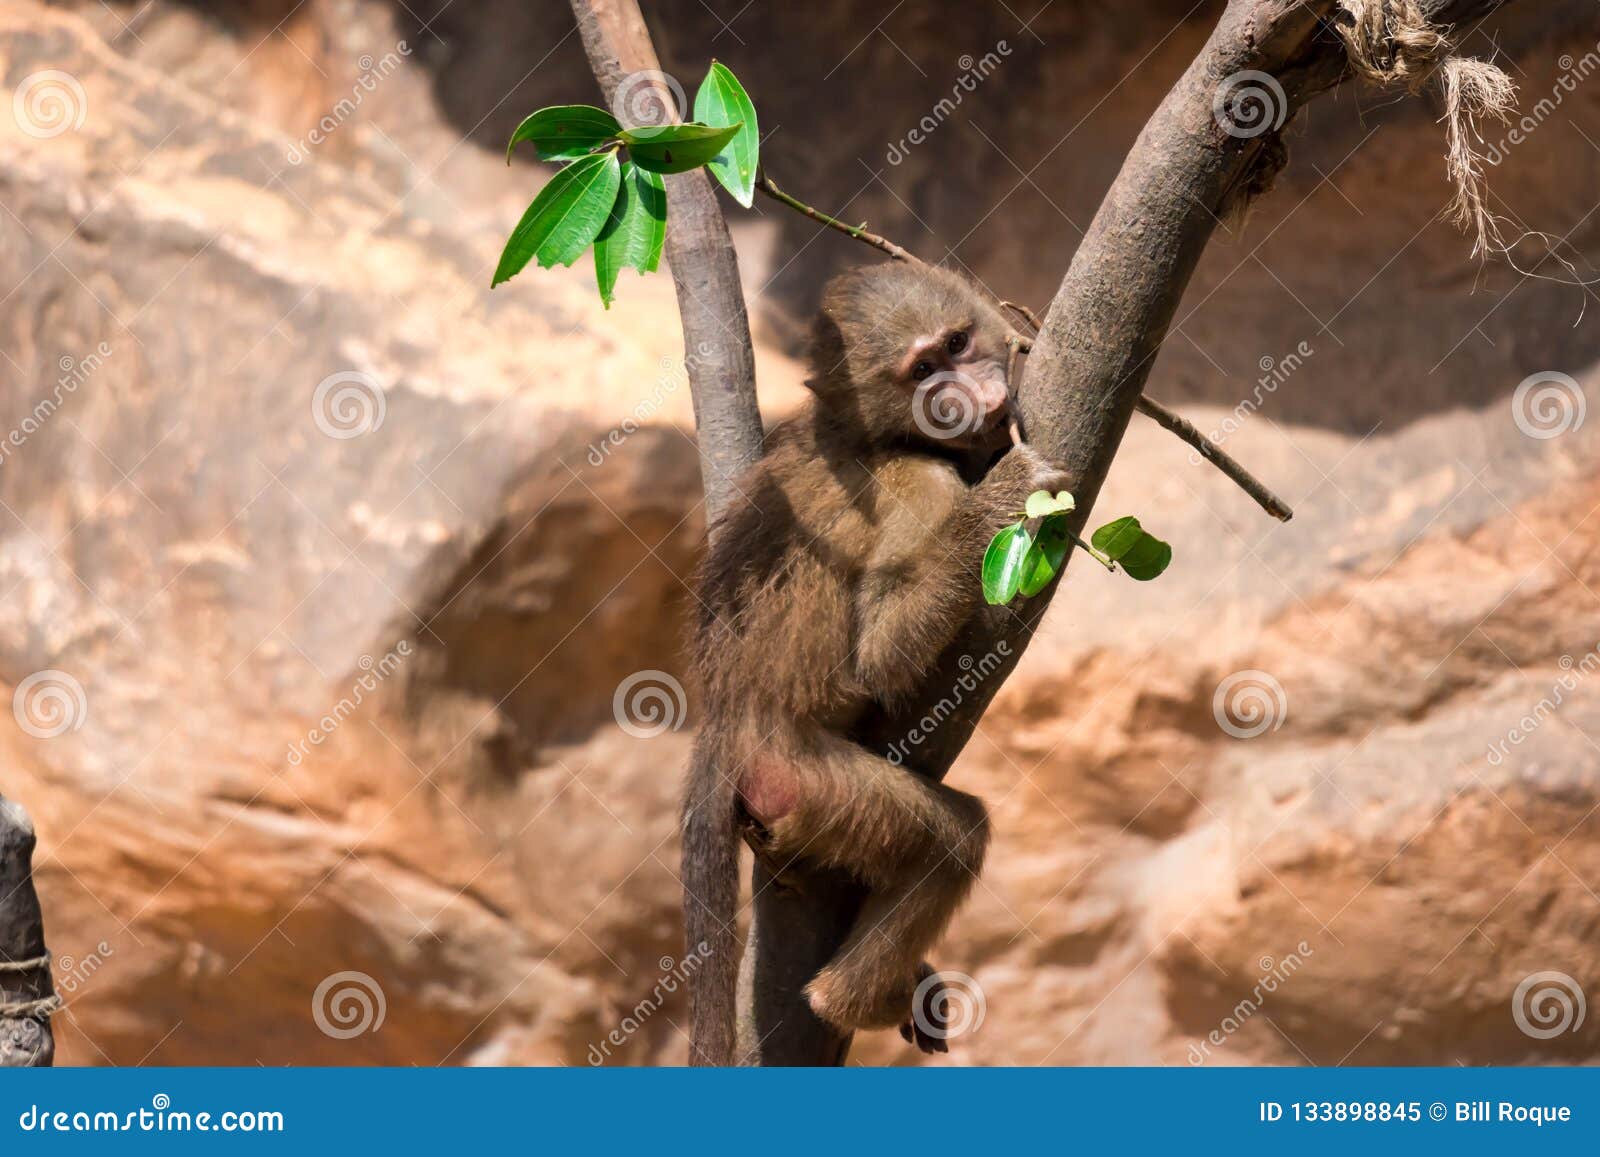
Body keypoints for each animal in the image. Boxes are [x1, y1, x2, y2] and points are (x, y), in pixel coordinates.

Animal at [681, 262, 1071, 1064]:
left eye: (956, 344)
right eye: (922, 374)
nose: (974, 397)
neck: (865, 432)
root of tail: (728, 711)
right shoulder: (919, 487)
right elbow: (883, 654)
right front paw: (1005, 492)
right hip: (801, 777)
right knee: (952, 842)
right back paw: (851, 999)